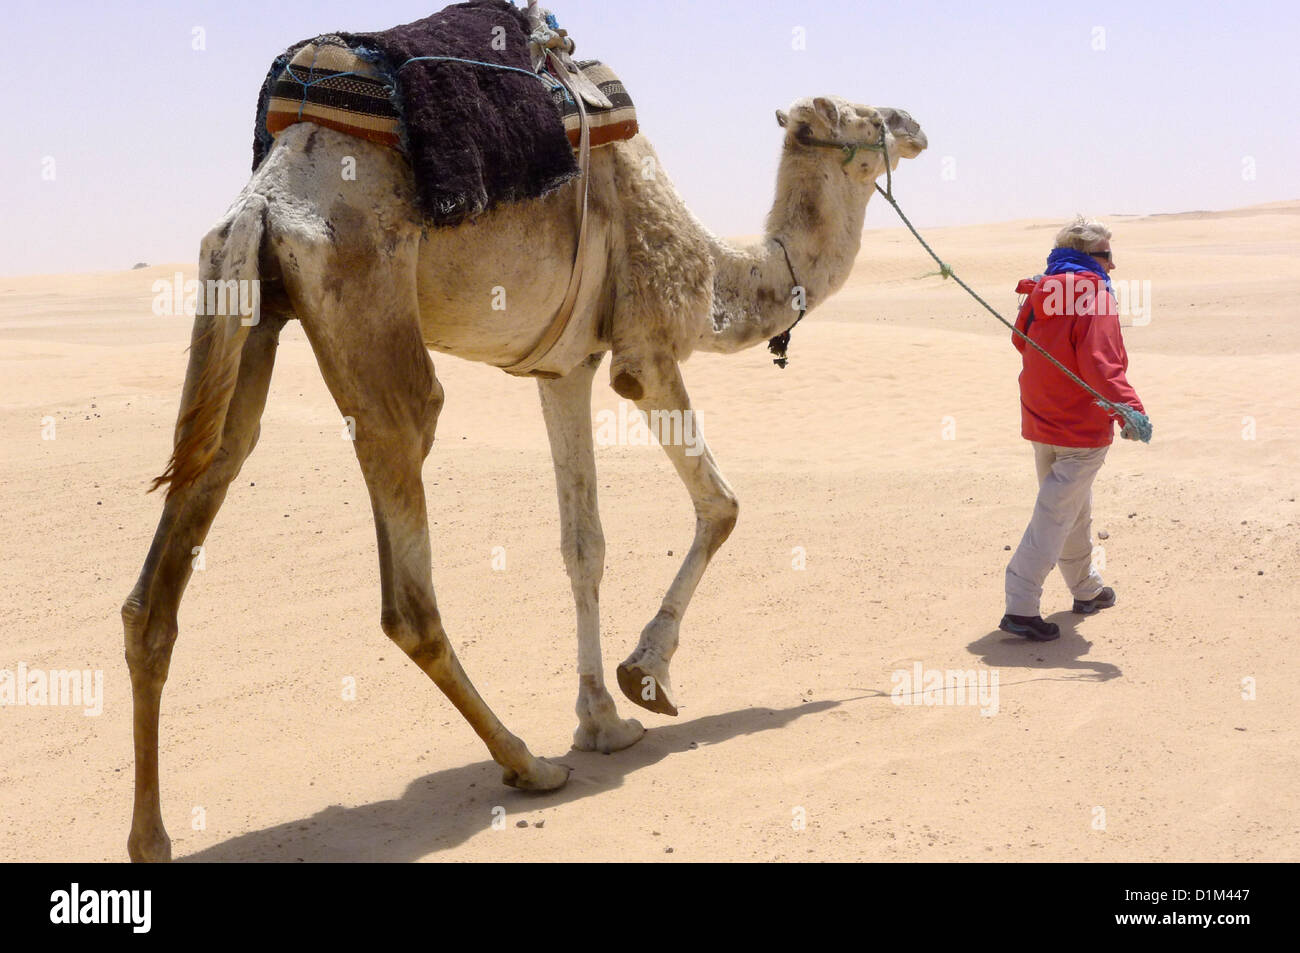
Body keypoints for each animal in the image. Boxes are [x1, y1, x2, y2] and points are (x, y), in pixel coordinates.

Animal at [121, 79, 927, 860]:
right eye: (862, 114)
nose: (915, 123)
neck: (712, 271)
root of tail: (262, 202)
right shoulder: (644, 352)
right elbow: (723, 505)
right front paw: (645, 677)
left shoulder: (565, 368)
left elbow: (583, 545)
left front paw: (601, 719)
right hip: (369, 314)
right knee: (407, 591)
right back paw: (527, 764)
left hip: (244, 309)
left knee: (180, 540)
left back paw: (151, 838)